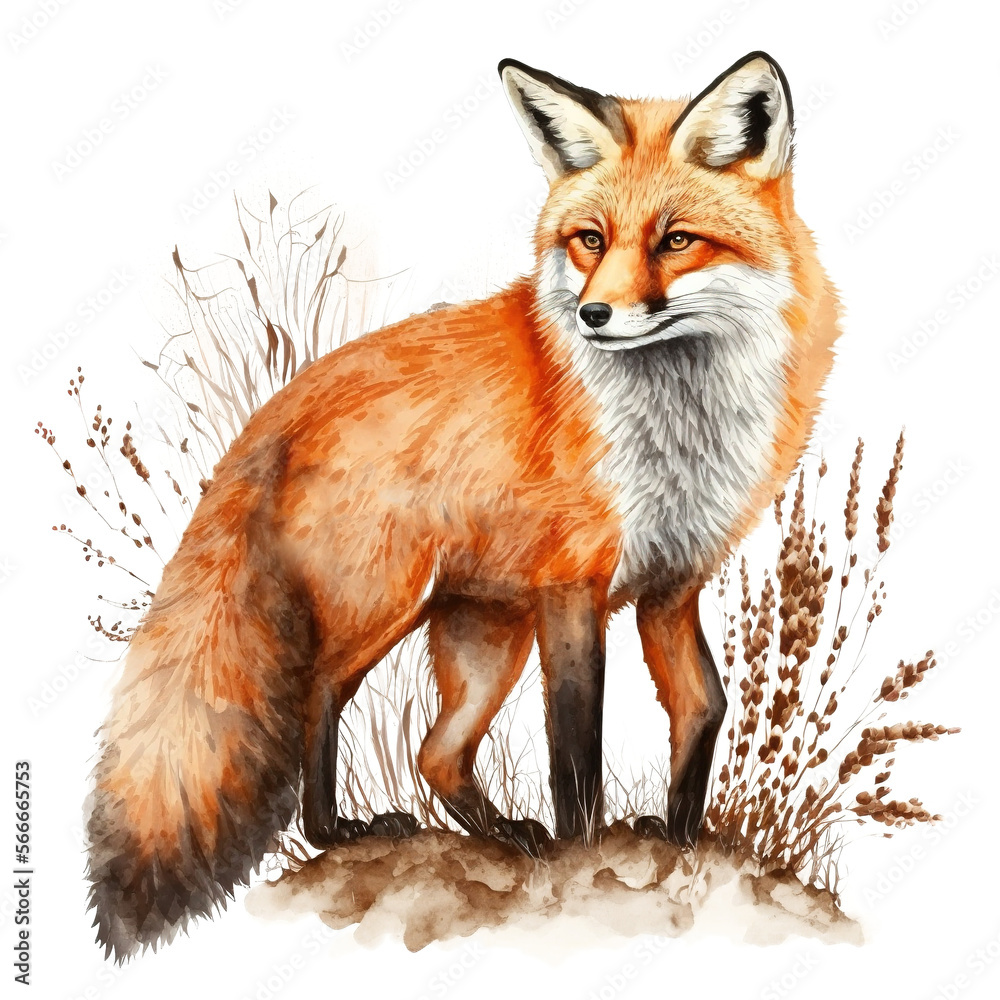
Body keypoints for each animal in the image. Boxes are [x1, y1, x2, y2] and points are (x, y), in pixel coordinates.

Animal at [86, 51, 840, 960]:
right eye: (591, 240)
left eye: (677, 240)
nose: (593, 314)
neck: (680, 424)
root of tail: (285, 401)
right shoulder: (572, 587)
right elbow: (576, 749)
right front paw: (586, 861)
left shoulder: (670, 583)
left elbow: (703, 707)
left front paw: (679, 842)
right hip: (389, 602)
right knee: (318, 693)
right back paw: (337, 832)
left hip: (482, 634)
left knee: (436, 754)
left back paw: (502, 835)